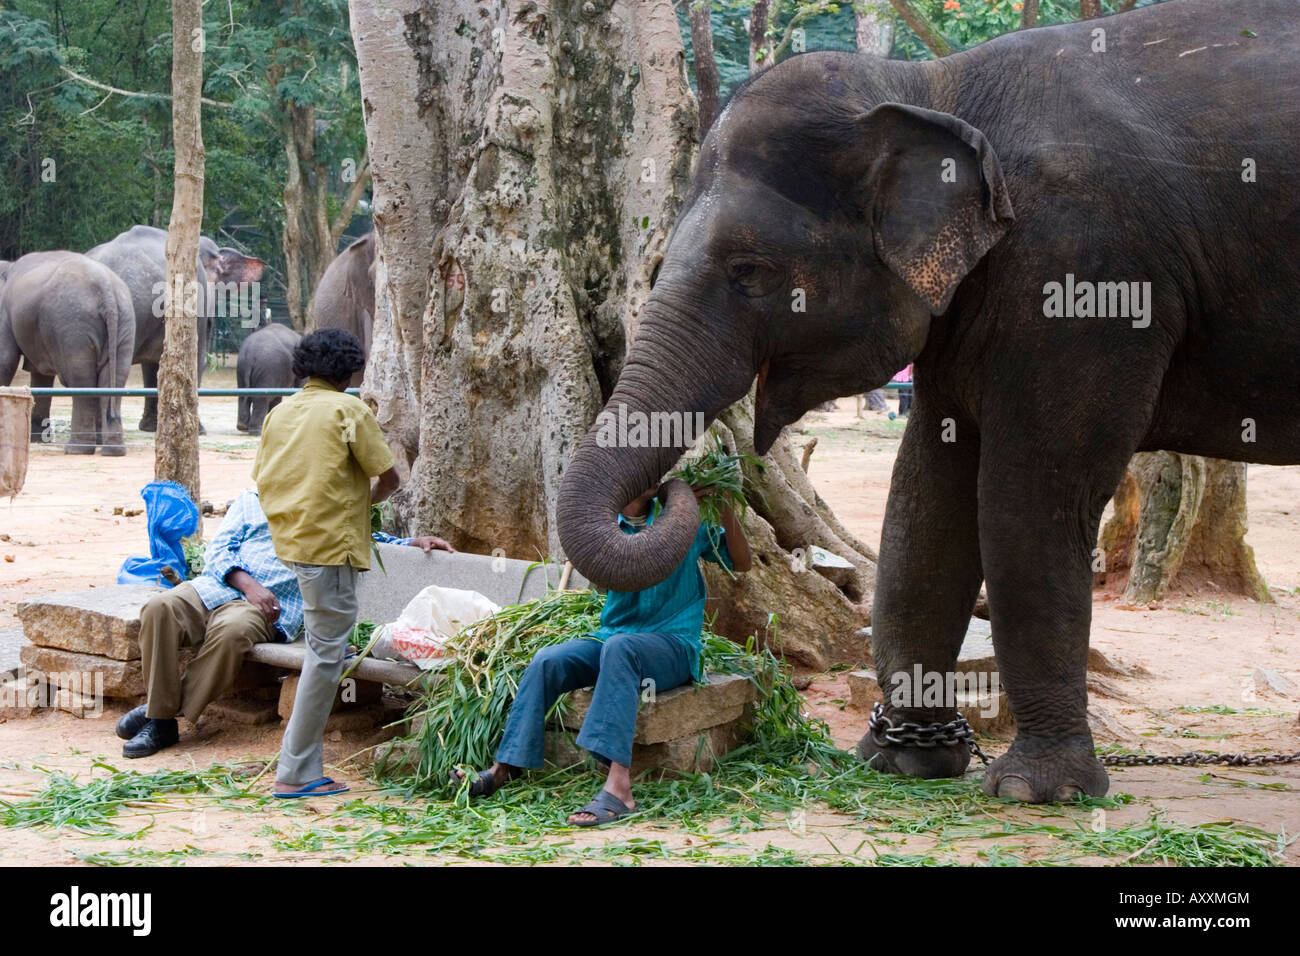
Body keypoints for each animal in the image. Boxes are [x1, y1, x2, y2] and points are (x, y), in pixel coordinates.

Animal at [0, 252, 135, 455]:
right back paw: (112, 450)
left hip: (73, 325)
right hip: (125, 321)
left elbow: (5, 359)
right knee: (114, 379)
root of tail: (107, 291)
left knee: (81, 380)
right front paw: (38, 439)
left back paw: (77, 449)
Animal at [556, 0, 1300, 803]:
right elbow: (924, 503)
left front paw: (1035, 789)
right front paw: (901, 760)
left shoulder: (1087, 275)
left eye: (749, 270)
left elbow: (1029, 501)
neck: (930, 86)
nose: (680, 485)